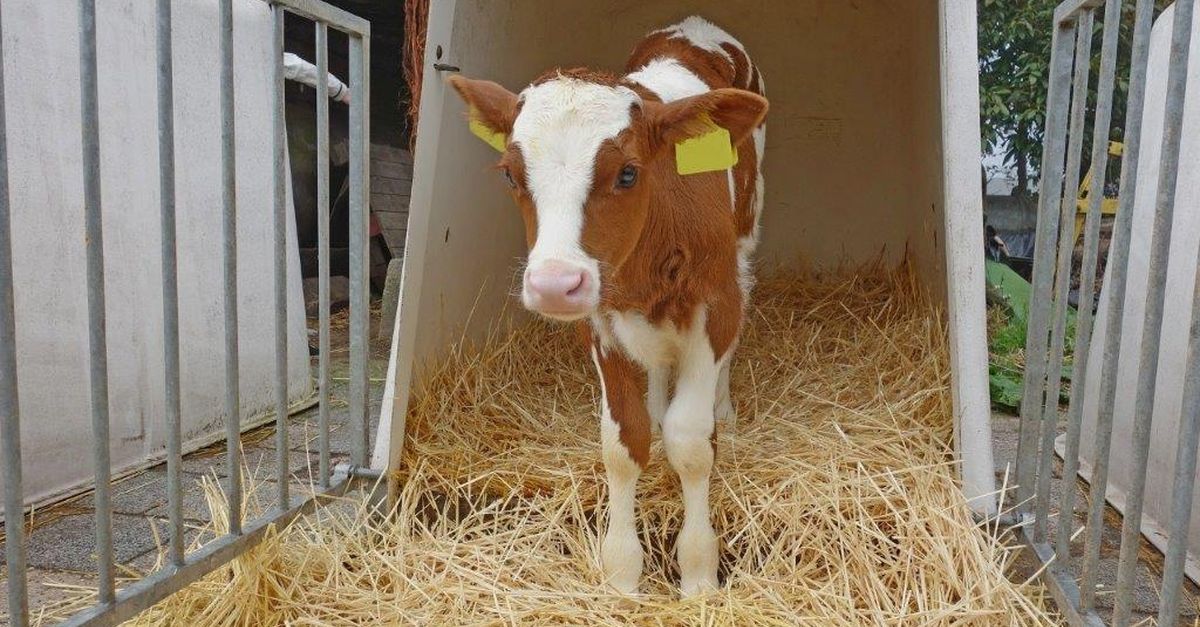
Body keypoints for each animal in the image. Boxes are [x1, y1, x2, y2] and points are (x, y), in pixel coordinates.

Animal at [448, 16, 767, 597]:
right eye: (509, 174)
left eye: (628, 173)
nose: (554, 284)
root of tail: (694, 26)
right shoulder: (599, 319)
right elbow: (623, 442)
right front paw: (621, 573)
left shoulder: (717, 300)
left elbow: (691, 442)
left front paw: (698, 573)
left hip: (748, 234)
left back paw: (723, 408)